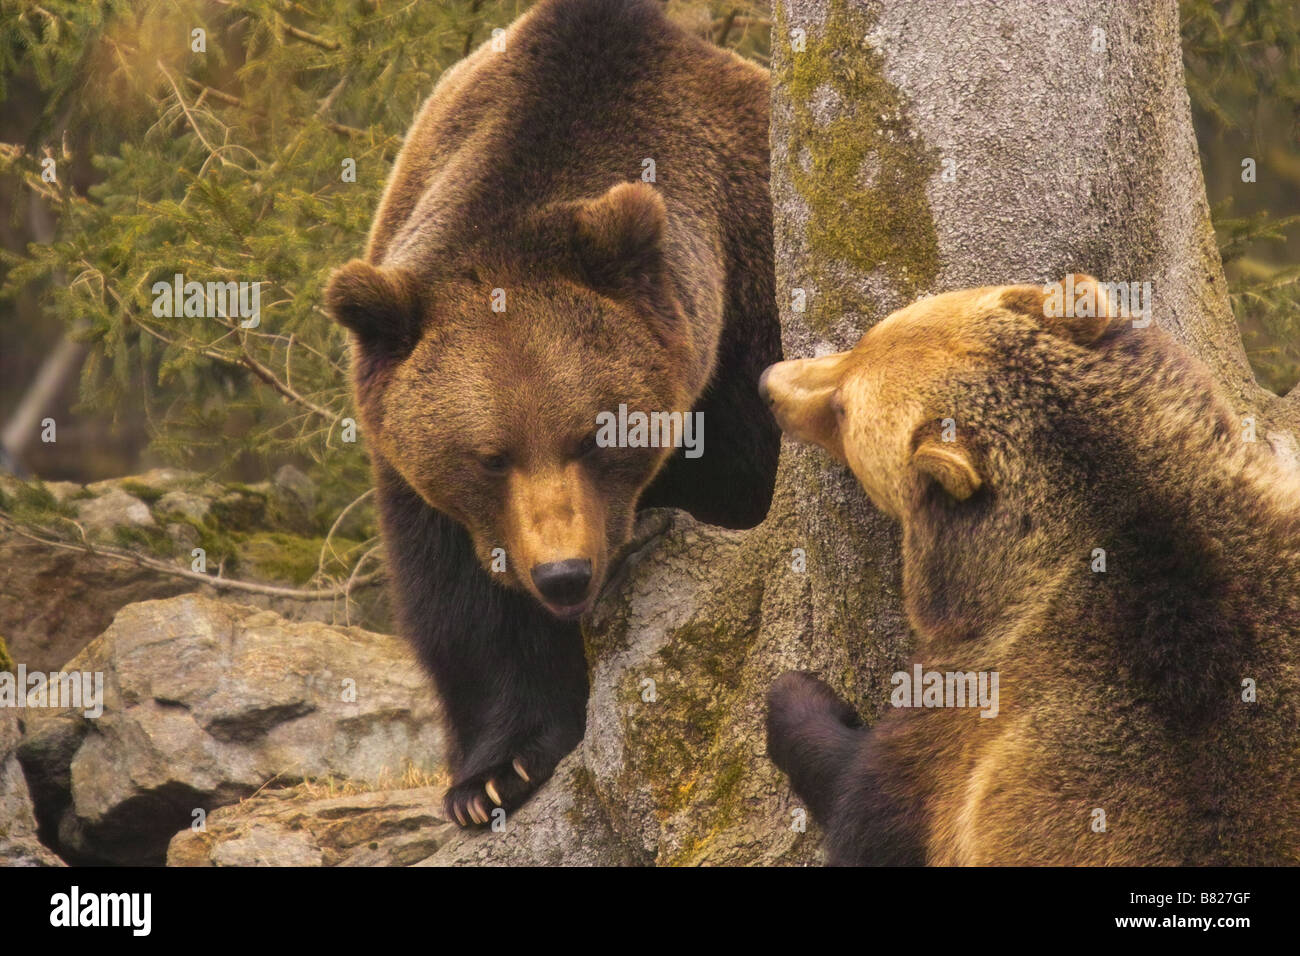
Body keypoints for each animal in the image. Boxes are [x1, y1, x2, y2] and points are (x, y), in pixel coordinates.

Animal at [324, 0, 780, 826]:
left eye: (596, 435)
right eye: (488, 456)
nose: (564, 574)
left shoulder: (740, 338)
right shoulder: (416, 474)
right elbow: (462, 605)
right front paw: (493, 774)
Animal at [761, 275, 1300, 865]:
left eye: (842, 408)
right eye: (865, 340)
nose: (770, 384)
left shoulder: (972, 716)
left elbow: (872, 802)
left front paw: (795, 696)